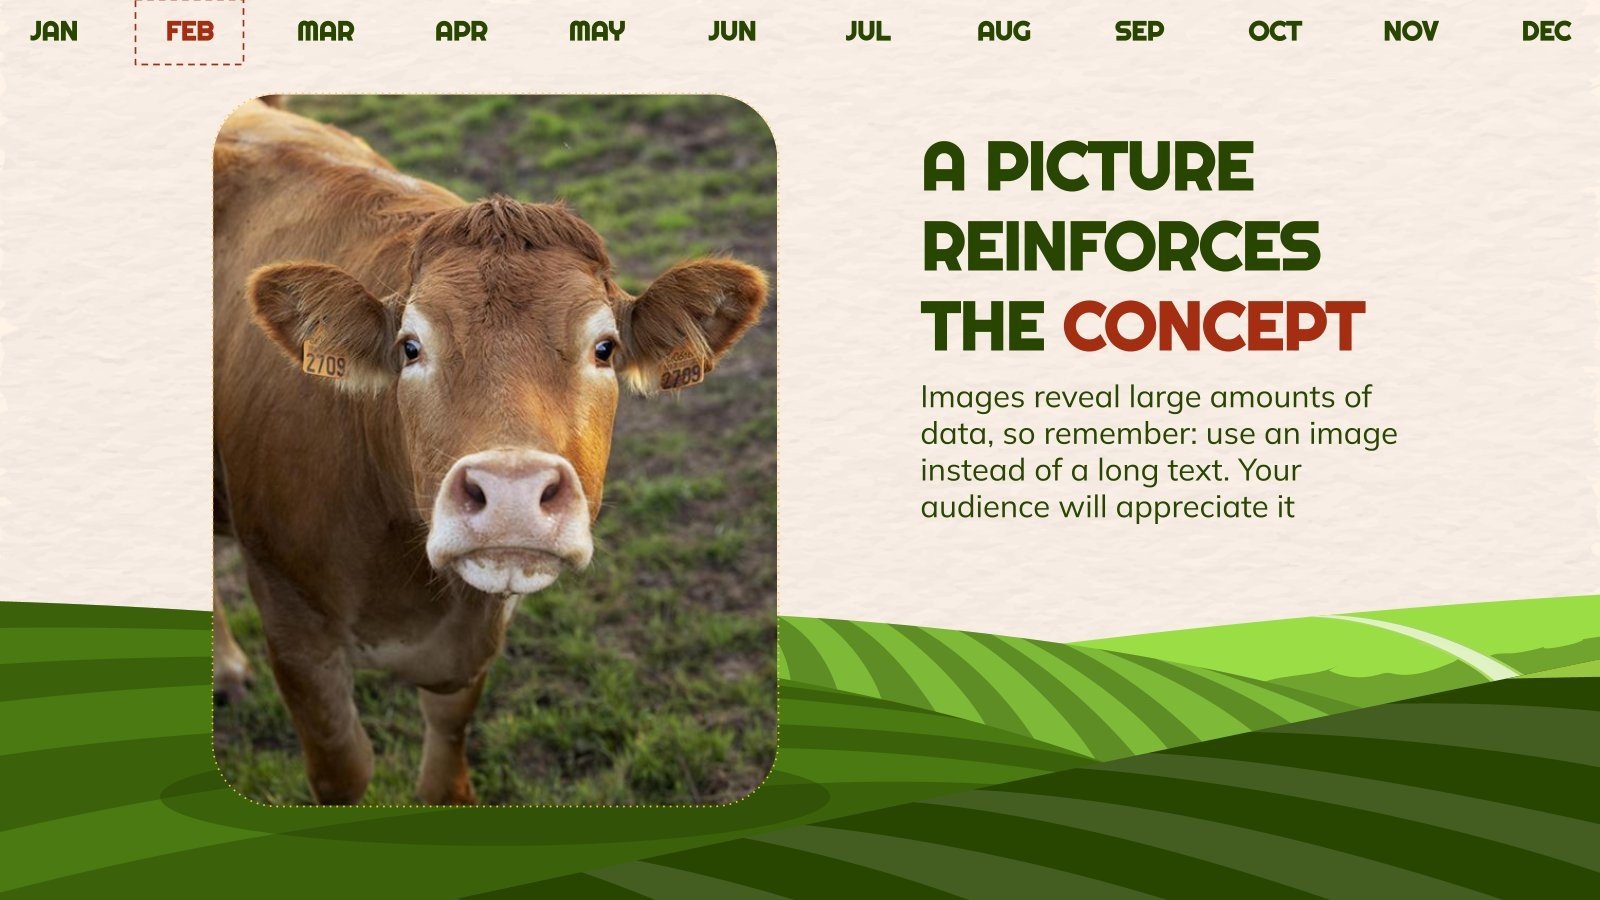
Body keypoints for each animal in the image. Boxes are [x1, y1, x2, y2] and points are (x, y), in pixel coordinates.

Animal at [212, 98, 768, 805]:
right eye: (410, 347)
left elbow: (445, 763)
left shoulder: (472, 642)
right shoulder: (294, 631)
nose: (511, 496)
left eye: (605, 348)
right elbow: (343, 767)